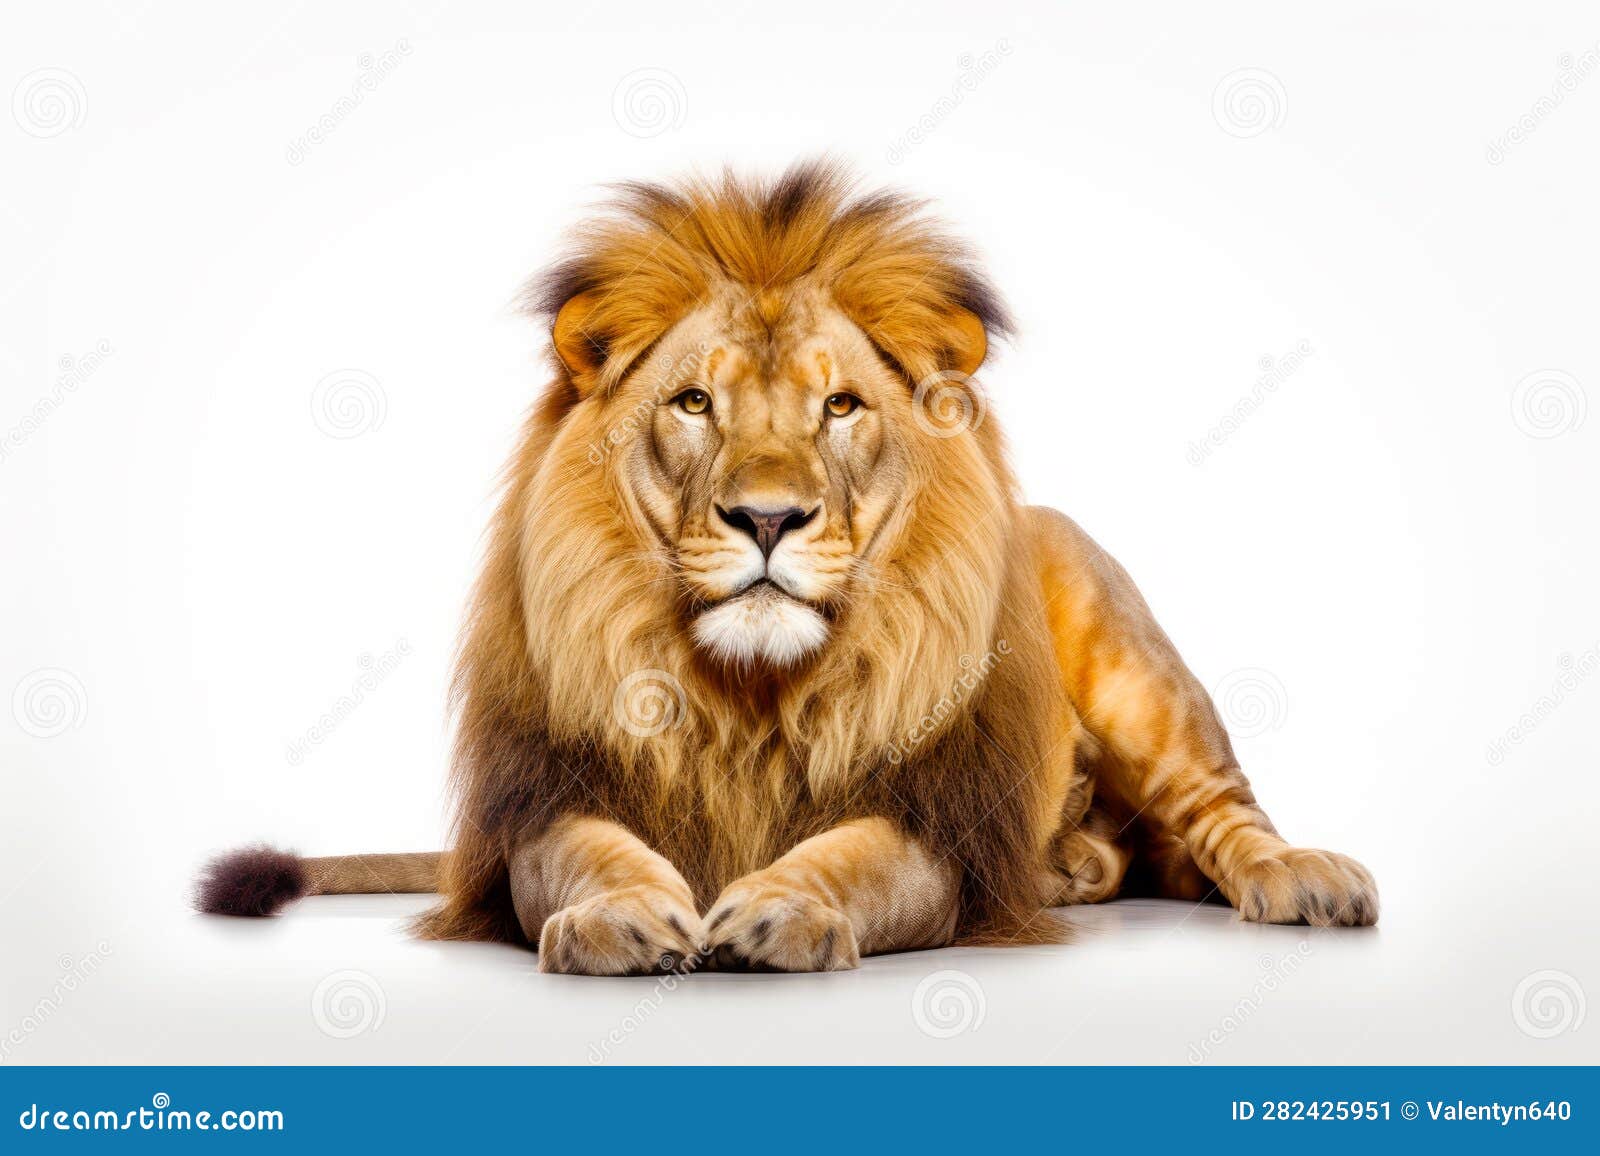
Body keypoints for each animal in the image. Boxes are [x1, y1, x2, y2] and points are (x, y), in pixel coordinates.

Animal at [196, 161, 1377, 974]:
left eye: (840, 406)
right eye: (694, 402)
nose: (768, 517)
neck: (749, 697)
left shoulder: (936, 826)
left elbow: (854, 857)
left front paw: (783, 907)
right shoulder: (548, 798)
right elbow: (589, 855)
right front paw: (622, 912)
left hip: (1131, 658)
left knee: (1220, 806)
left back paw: (1304, 876)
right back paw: (1076, 868)